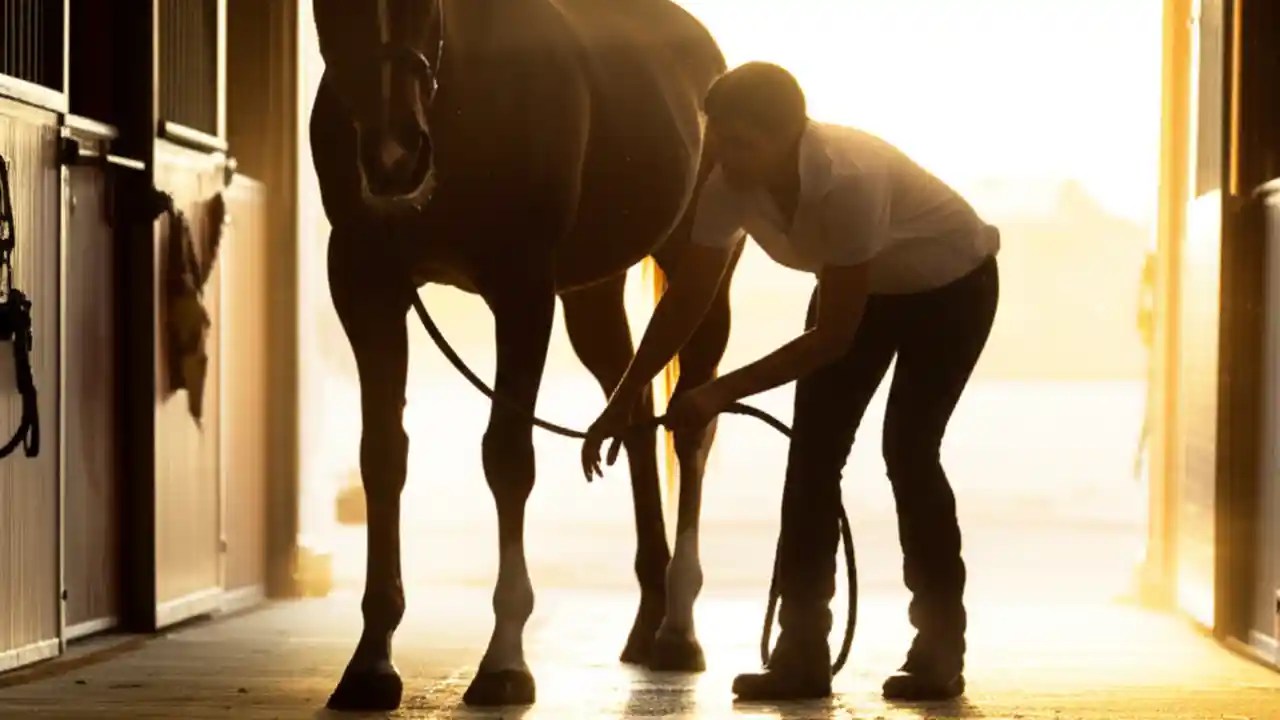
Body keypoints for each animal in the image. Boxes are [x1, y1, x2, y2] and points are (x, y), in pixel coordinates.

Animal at [309, 0, 739, 709]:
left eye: (426, 6)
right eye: (332, 8)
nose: (396, 157)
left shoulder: (522, 290)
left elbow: (508, 459)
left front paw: (503, 665)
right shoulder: (364, 283)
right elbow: (383, 458)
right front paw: (370, 663)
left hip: (699, 275)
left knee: (691, 428)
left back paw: (678, 630)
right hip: (592, 292)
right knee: (631, 412)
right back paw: (647, 623)